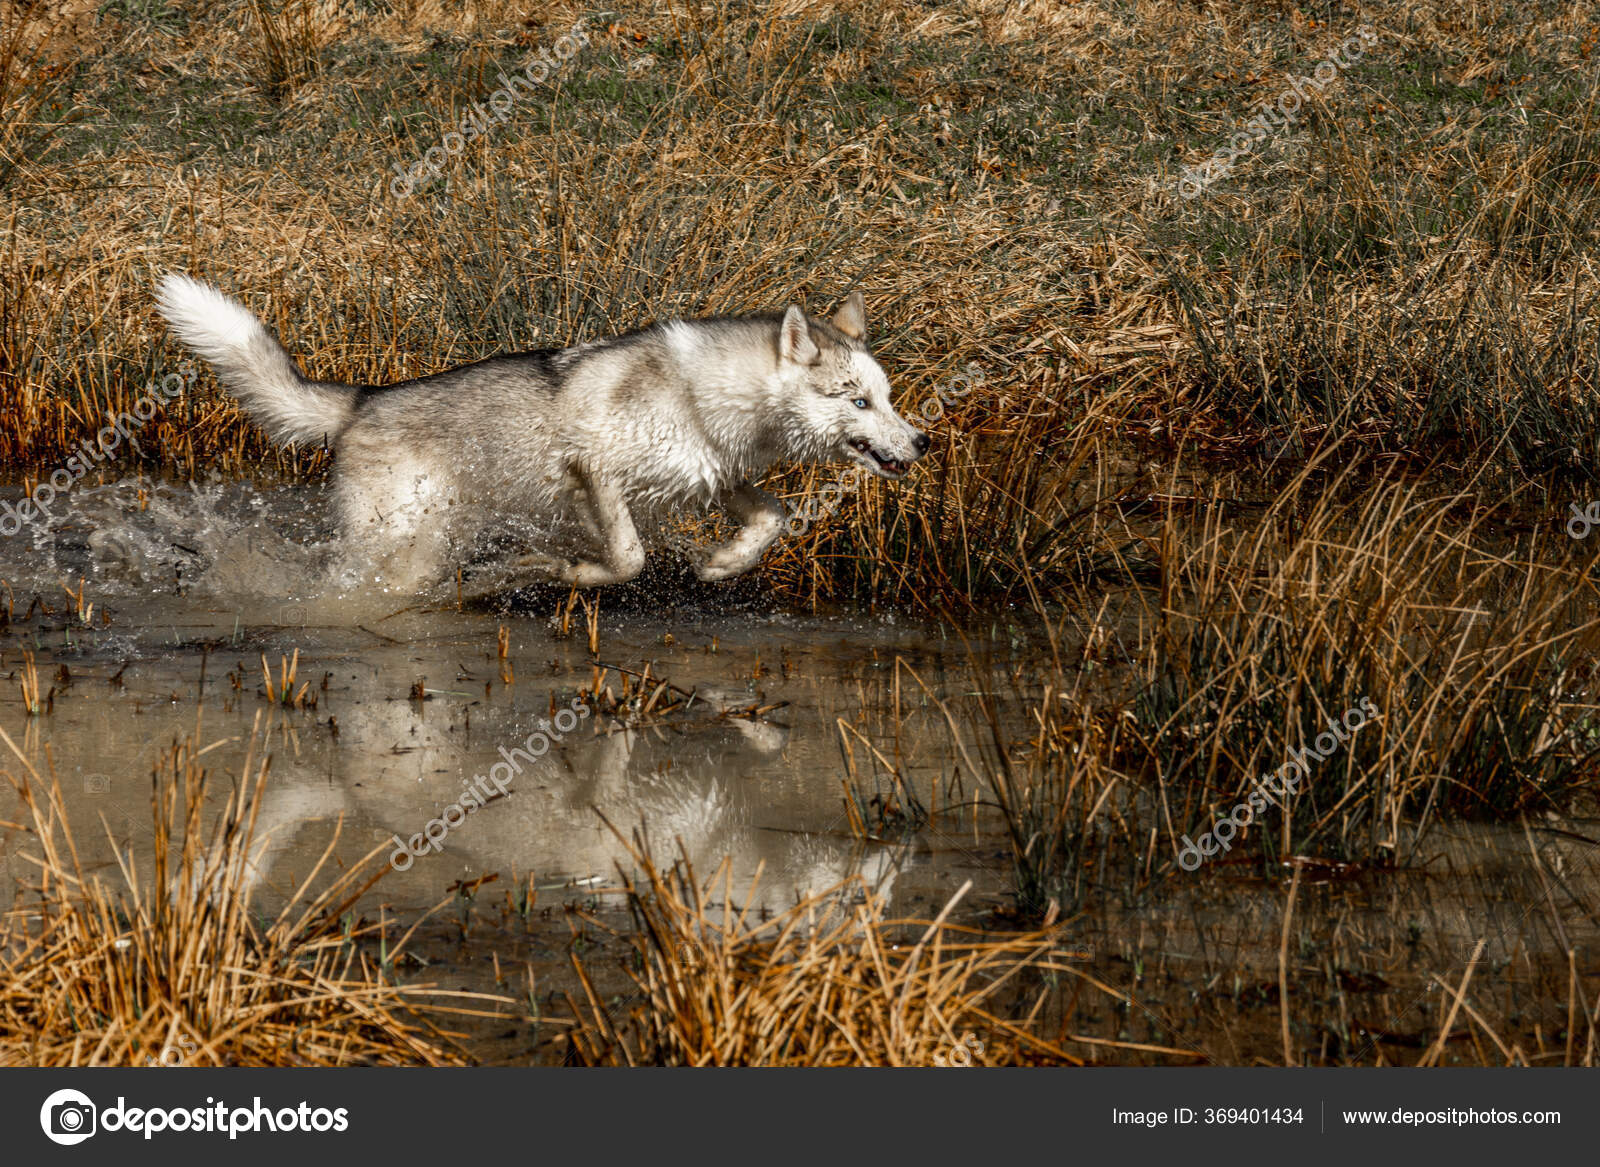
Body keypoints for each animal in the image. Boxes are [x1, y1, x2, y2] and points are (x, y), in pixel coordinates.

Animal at [155, 275, 929, 594]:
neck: (703, 396)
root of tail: (361, 400)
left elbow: (775, 516)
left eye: (889, 399)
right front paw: (557, 572)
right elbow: (628, 560)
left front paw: (721, 565)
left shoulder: (712, 478)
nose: (922, 443)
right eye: (858, 400)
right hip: (399, 546)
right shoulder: (594, 473)